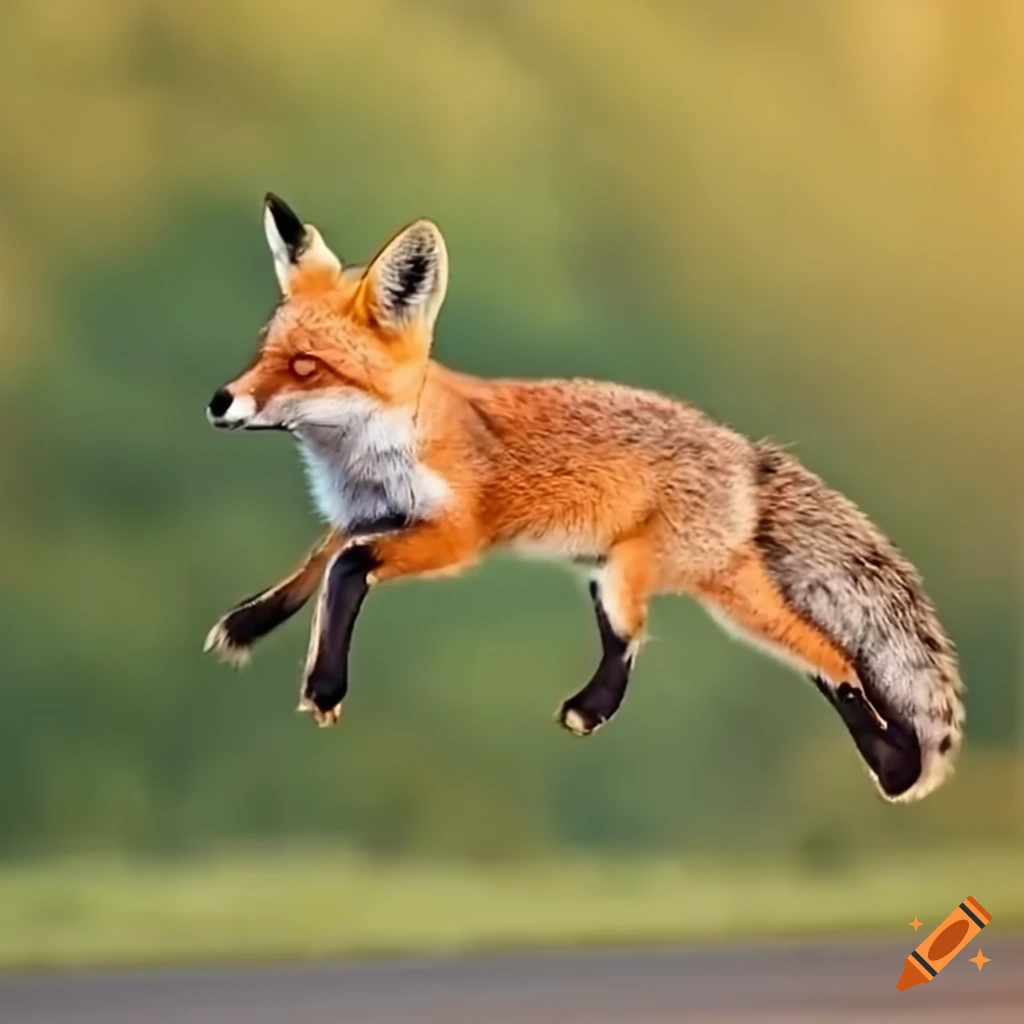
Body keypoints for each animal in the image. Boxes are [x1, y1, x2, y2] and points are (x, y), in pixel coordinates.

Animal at [204, 193, 964, 803]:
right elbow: (319, 556)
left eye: (306, 366)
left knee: (805, 657)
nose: (219, 402)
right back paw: (887, 759)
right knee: (808, 658)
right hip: (648, 581)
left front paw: (324, 687)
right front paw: (250, 622)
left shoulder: (456, 534)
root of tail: (747, 454)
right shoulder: (374, 513)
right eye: (264, 351)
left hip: (641, 577)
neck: (367, 455)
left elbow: (346, 566)